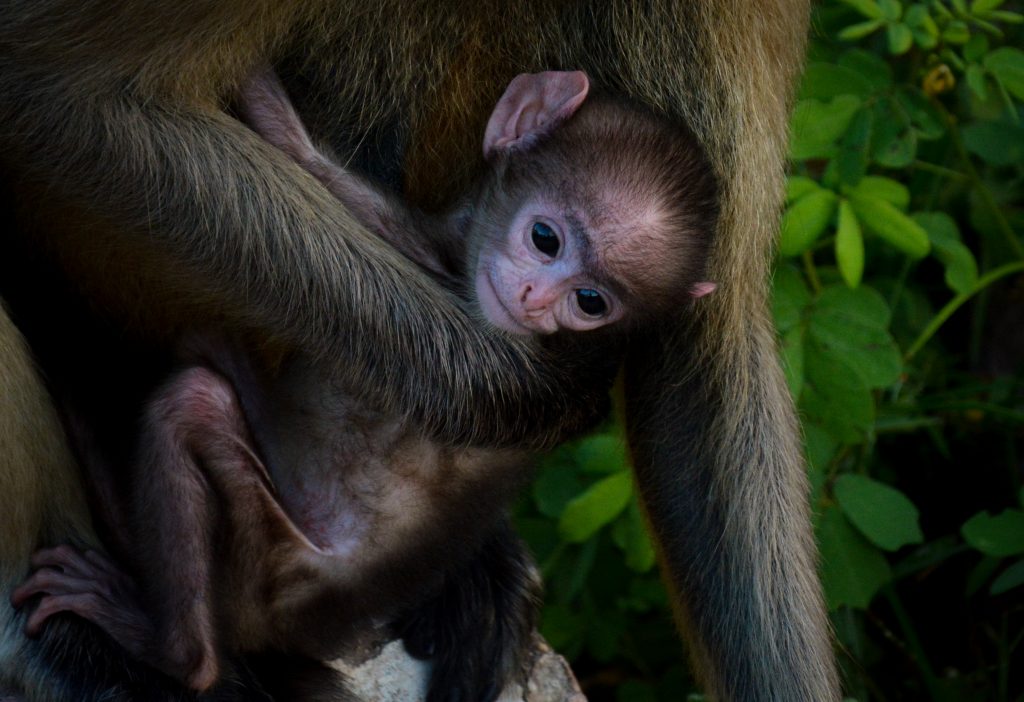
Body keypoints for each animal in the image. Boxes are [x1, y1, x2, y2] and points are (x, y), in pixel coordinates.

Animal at [0, 2, 841, 700]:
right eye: (545, 237)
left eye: (592, 301)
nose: (536, 303)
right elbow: (64, 97)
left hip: (262, 561)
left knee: (193, 407)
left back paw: (174, 652)